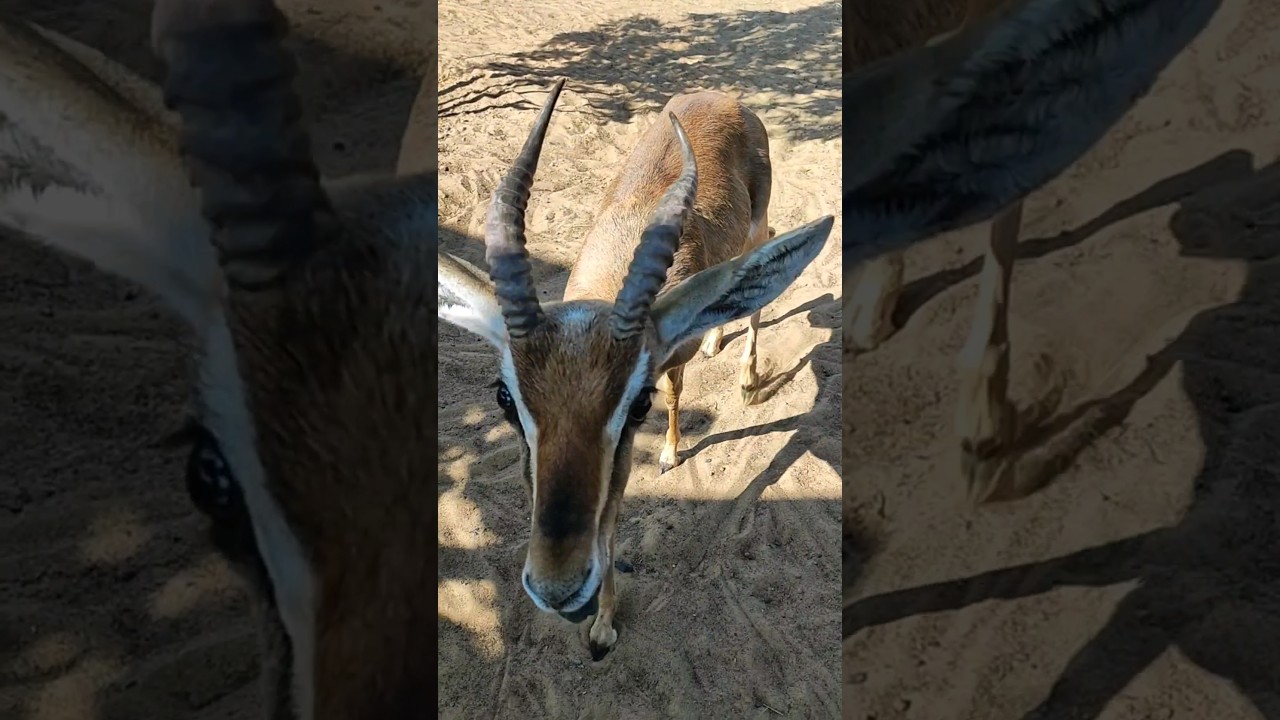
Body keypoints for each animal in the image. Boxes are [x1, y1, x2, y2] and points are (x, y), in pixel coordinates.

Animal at [437, 79, 835, 659]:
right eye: (504, 397)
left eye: (637, 401)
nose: (556, 587)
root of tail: (722, 97)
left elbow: (662, 422)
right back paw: (715, 339)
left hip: (759, 225)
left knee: (761, 275)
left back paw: (745, 380)